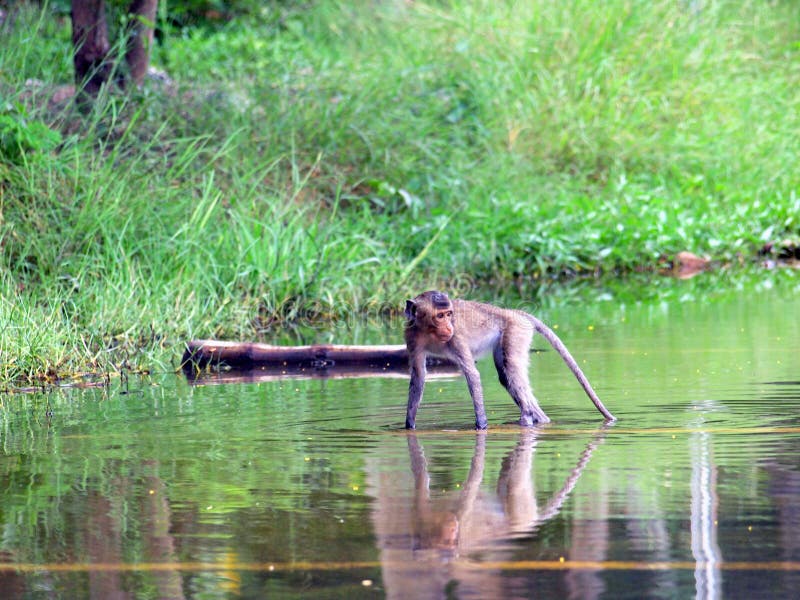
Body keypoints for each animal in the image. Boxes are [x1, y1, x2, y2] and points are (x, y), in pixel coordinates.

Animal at [403, 290, 615, 429]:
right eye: (440, 316)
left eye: (449, 315)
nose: (448, 327)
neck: (428, 331)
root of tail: (515, 313)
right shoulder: (412, 336)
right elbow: (418, 376)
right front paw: (409, 425)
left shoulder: (456, 337)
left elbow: (472, 374)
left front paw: (482, 425)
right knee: (506, 375)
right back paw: (539, 419)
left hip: (515, 332)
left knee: (511, 368)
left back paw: (527, 418)